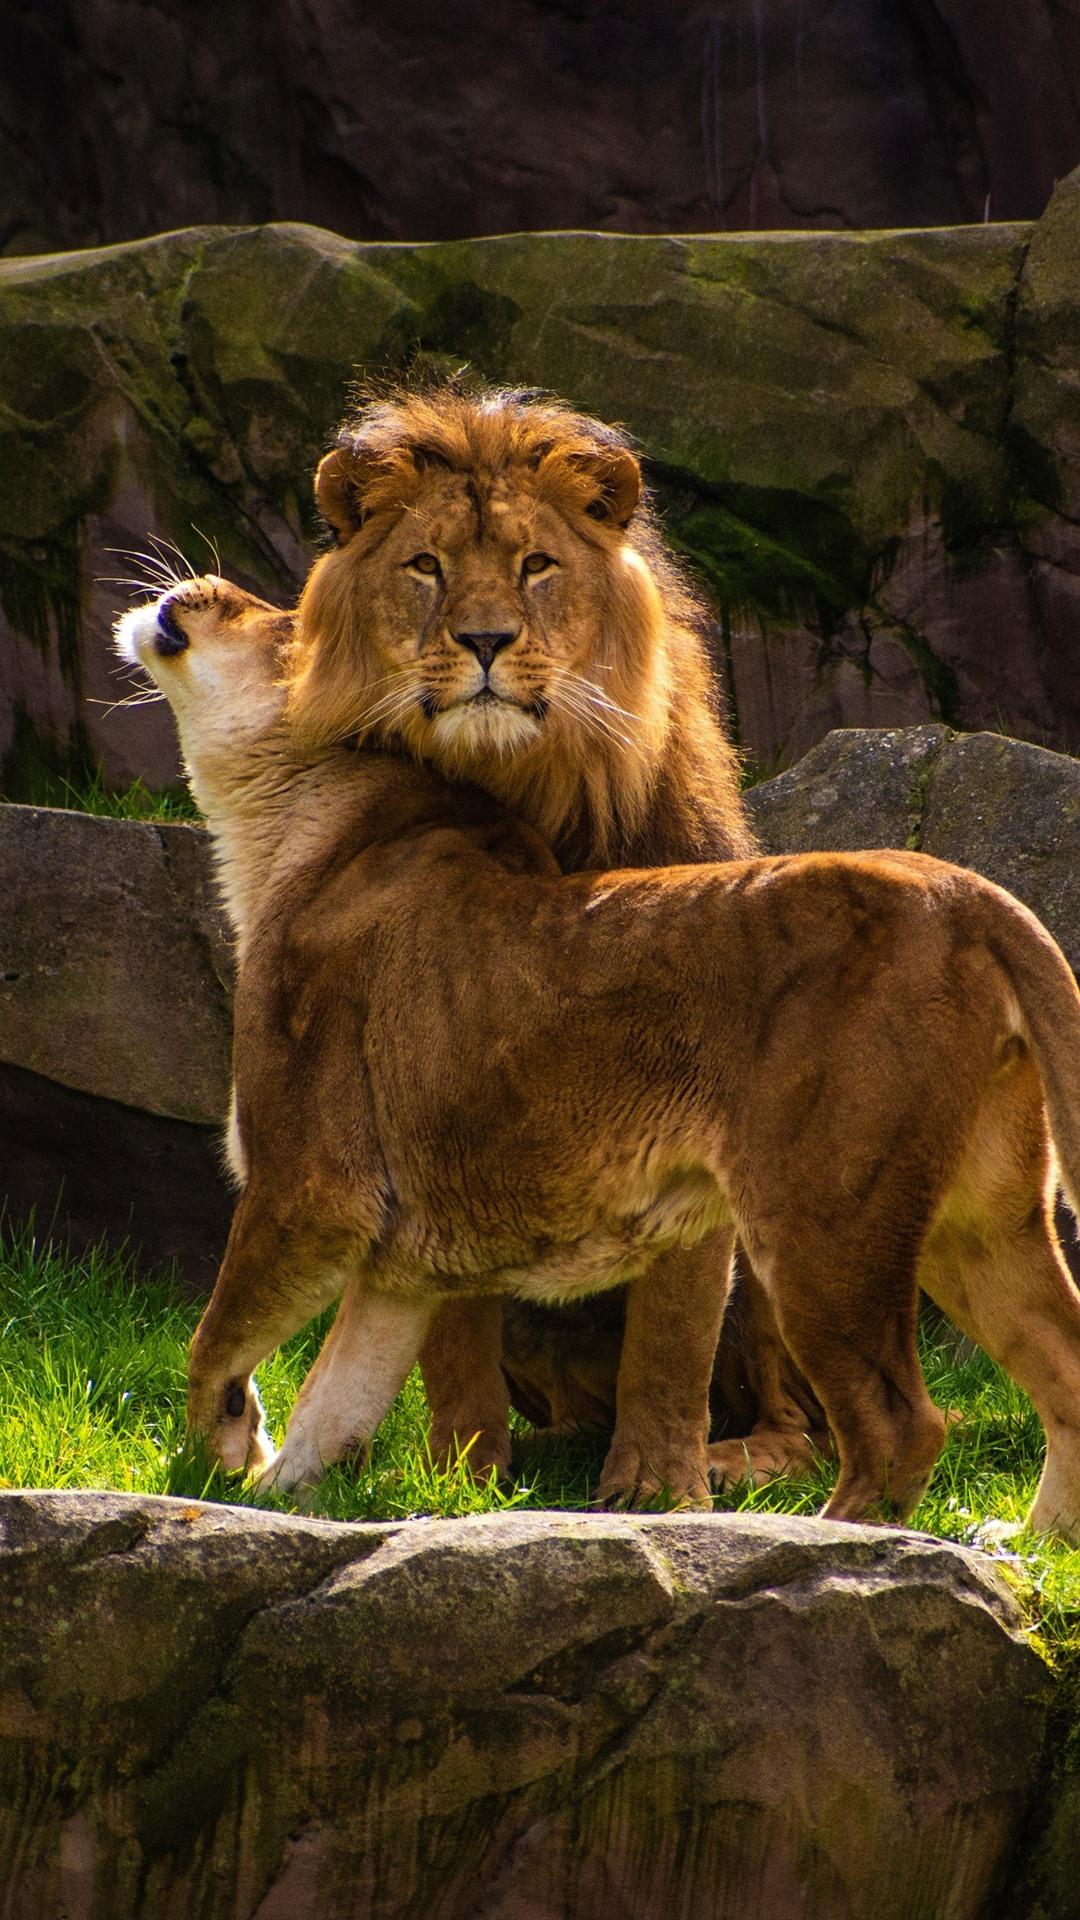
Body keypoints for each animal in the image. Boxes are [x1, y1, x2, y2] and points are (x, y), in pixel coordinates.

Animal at [116, 574, 1080, 1540]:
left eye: (269, 616)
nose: (196, 586)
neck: (288, 830)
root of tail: (964, 890)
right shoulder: (401, 1259)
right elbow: (341, 1393)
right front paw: (280, 1490)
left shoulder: (312, 1190)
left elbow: (216, 1339)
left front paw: (214, 1465)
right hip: (978, 1220)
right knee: (1063, 1366)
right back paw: (1029, 1544)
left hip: (822, 1215)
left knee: (899, 1423)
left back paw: (825, 1533)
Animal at [285, 381, 825, 1500]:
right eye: (427, 566)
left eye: (536, 565)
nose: (486, 641)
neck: (523, 796)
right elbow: (451, 1335)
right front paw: (457, 1479)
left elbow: (673, 1329)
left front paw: (659, 1489)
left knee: (799, 1413)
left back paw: (740, 1457)